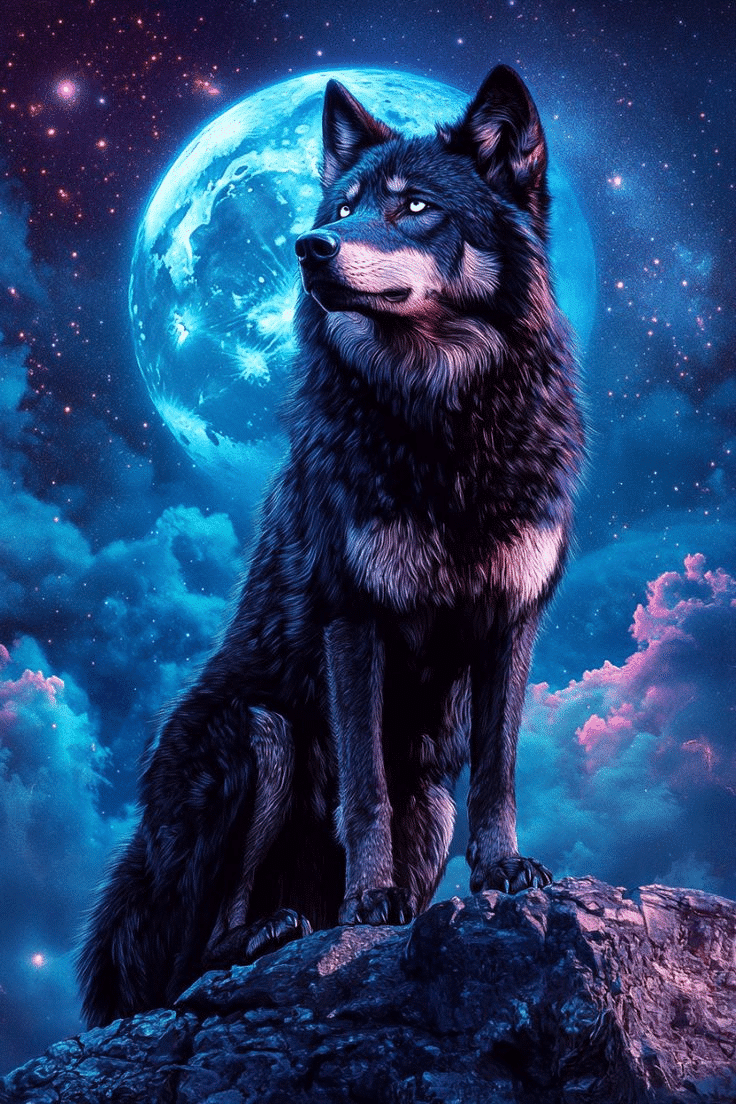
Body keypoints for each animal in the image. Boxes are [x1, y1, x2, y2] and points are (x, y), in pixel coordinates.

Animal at [78, 64, 584, 1027]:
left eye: (415, 206)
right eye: (343, 206)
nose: (308, 245)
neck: (443, 422)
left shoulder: (514, 619)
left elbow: (498, 772)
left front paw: (505, 872)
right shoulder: (354, 619)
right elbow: (364, 792)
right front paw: (370, 902)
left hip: (432, 801)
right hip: (260, 733)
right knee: (183, 964)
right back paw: (268, 934)